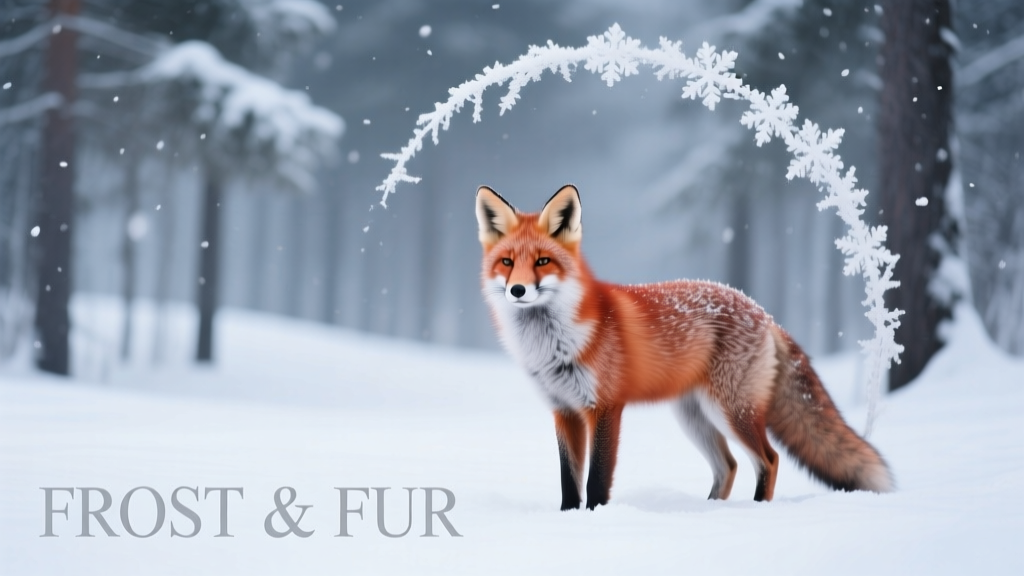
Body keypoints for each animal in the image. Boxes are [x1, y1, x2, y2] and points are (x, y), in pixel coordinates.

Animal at [476, 184, 893, 510]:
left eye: (543, 261)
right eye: (507, 262)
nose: (518, 290)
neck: (555, 345)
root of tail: (762, 310)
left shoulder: (605, 407)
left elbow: (596, 482)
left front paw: (597, 520)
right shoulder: (564, 410)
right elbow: (568, 482)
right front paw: (568, 520)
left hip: (732, 410)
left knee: (769, 460)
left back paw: (757, 510)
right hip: (695, 417)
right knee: (729, 466)